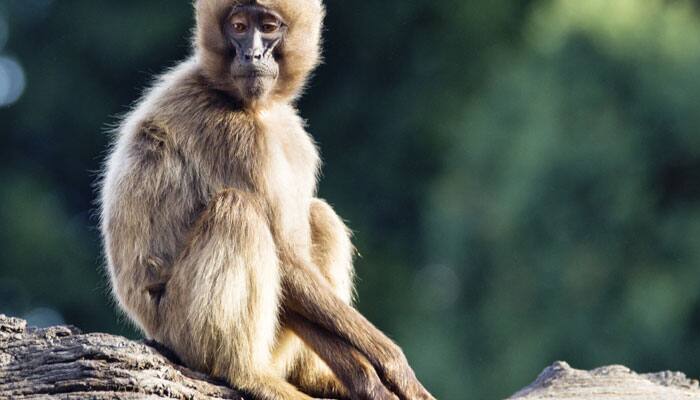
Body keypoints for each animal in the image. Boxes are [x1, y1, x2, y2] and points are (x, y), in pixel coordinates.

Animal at [99, 1, 436, 399]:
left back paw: (311, 378)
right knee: (238, 211)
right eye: (239, 27)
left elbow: (293, 262)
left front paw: (363, 377)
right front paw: (391, 365)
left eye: (269, 27)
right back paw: (248, 373)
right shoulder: (229, 133)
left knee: (318, 215)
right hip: (180, 328)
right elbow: (285, 258)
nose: (253, 54)